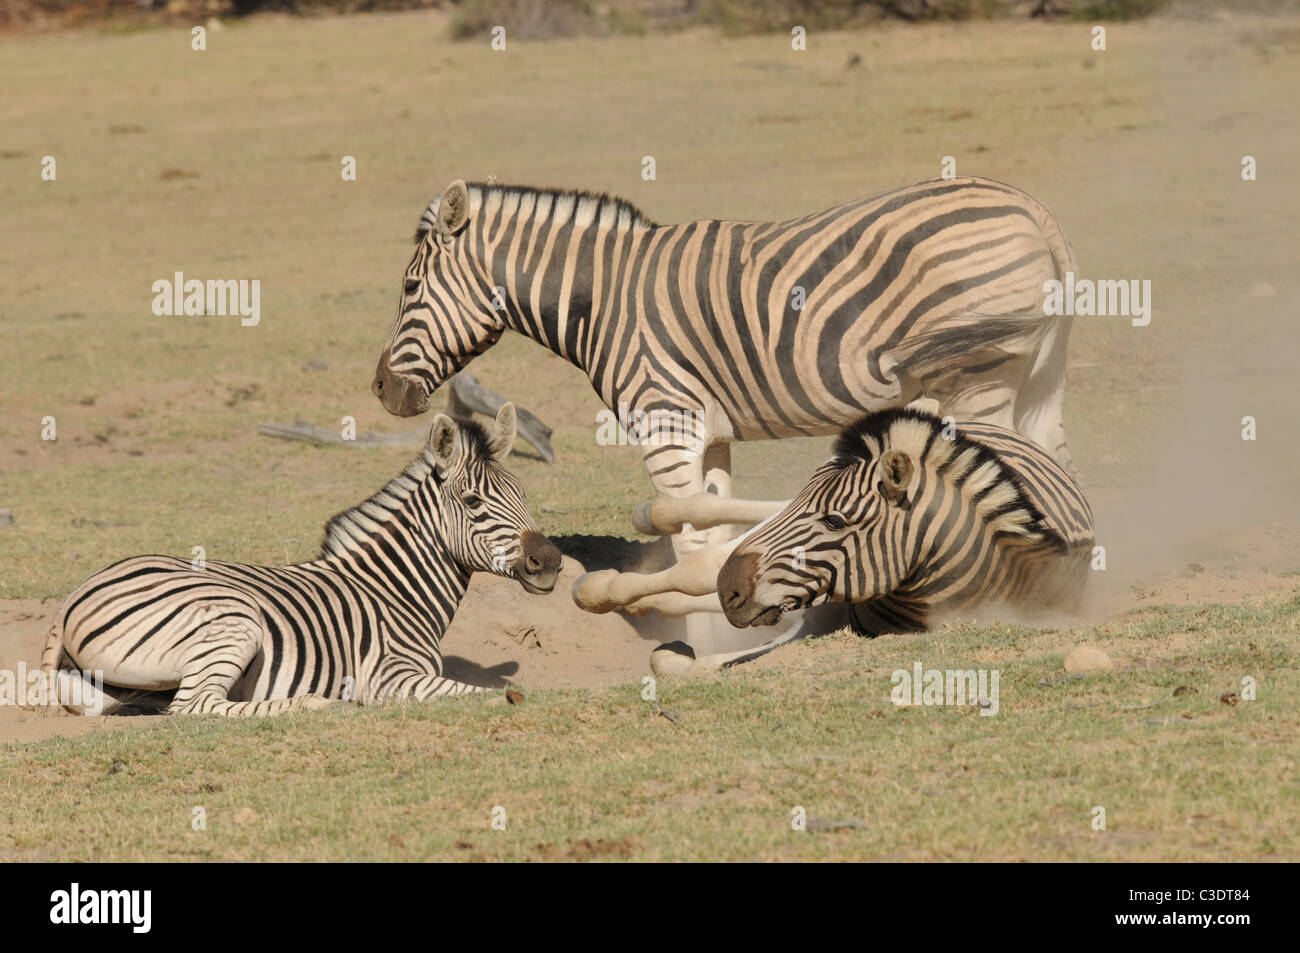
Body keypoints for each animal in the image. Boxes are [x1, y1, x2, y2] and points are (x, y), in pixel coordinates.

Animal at [41, 404, 561, 716]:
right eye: (473, 502)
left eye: (522, 494)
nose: (551, 561)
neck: (397, 590)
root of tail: (72, 599)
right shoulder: (388, 676)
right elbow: (488, 693)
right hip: (233, 618)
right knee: (195, 706)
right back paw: (312, 704)